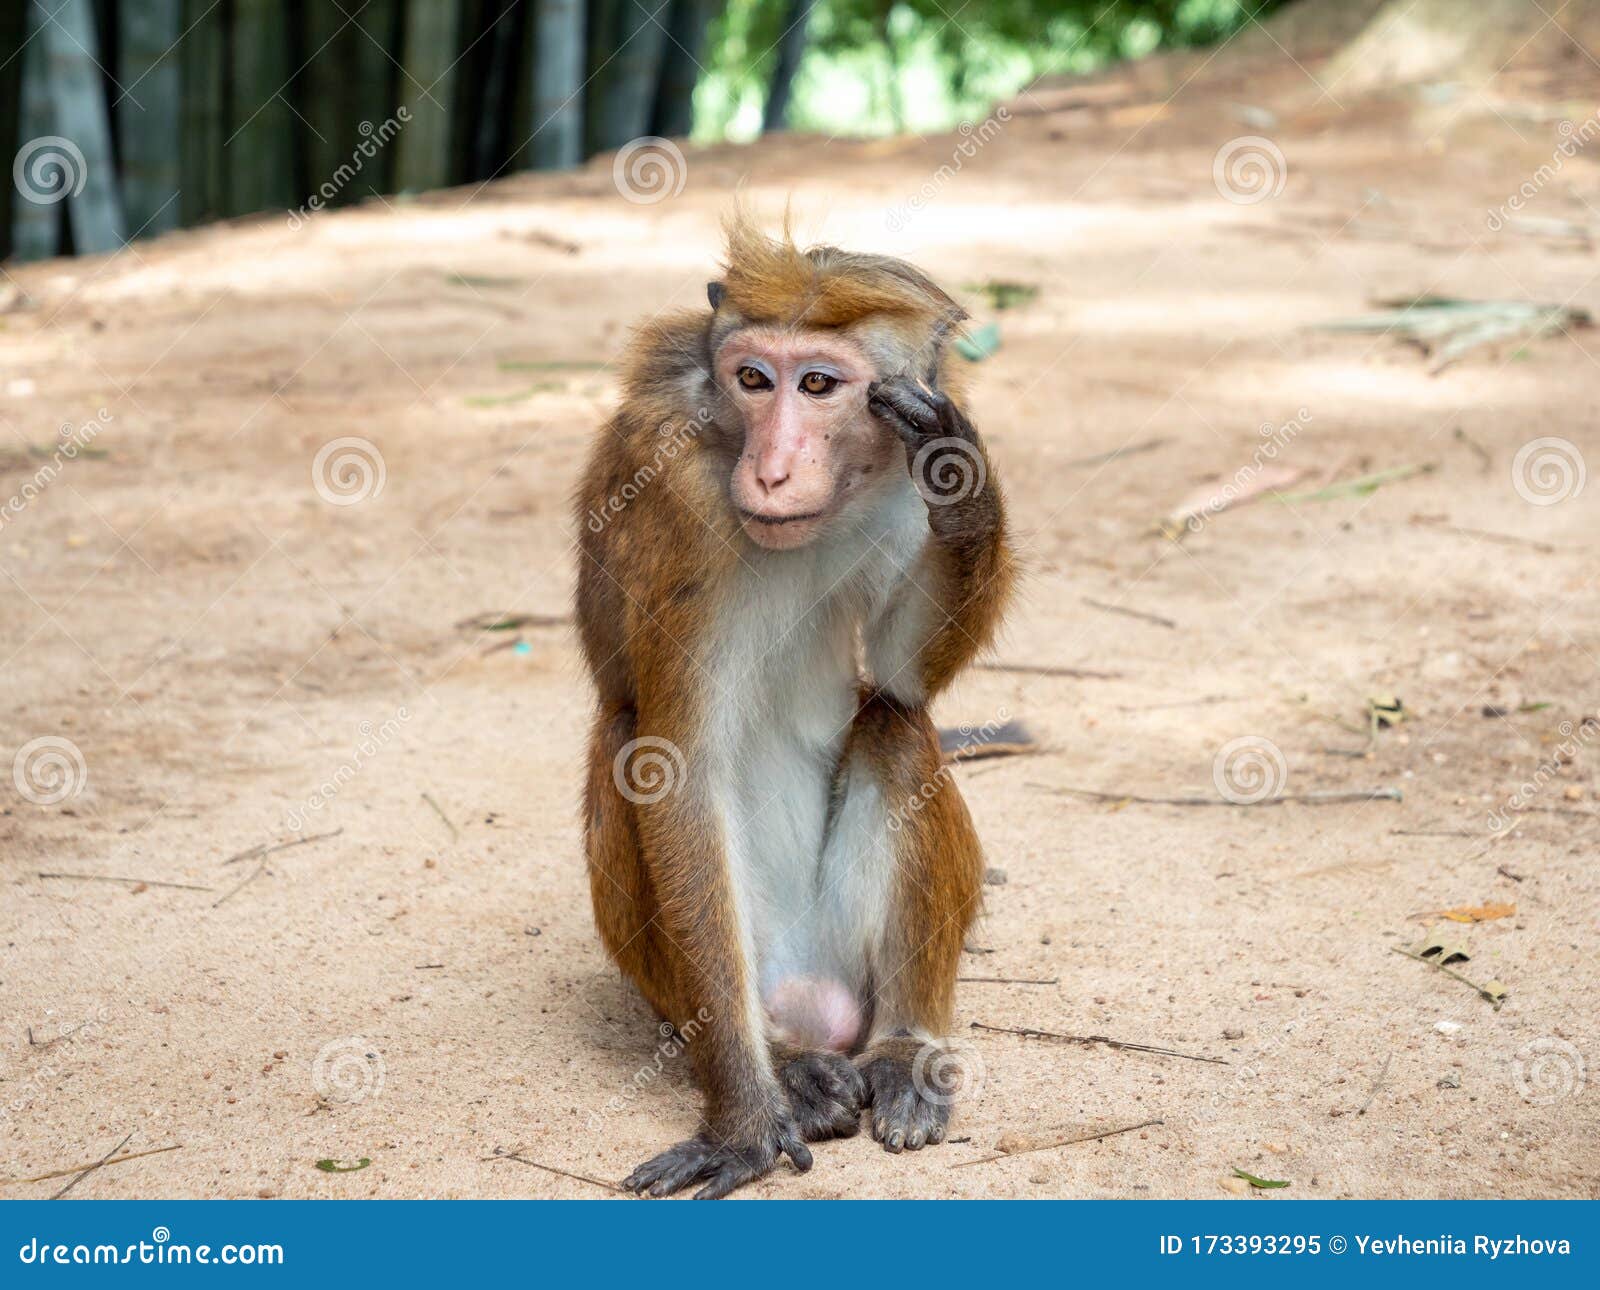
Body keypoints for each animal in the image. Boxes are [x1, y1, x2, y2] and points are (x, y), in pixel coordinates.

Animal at [573, 212, 1015, 1199]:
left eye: (817, 384)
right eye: (752, 379)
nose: (771, 472)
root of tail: (812, 999)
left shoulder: (904, 478)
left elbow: (901, 674)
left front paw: (961, 474)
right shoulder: (674, 498)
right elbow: (673, 766)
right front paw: (746, 1118)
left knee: (896, 727)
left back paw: (902, 1048)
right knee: (625, 739)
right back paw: (790, 1067)